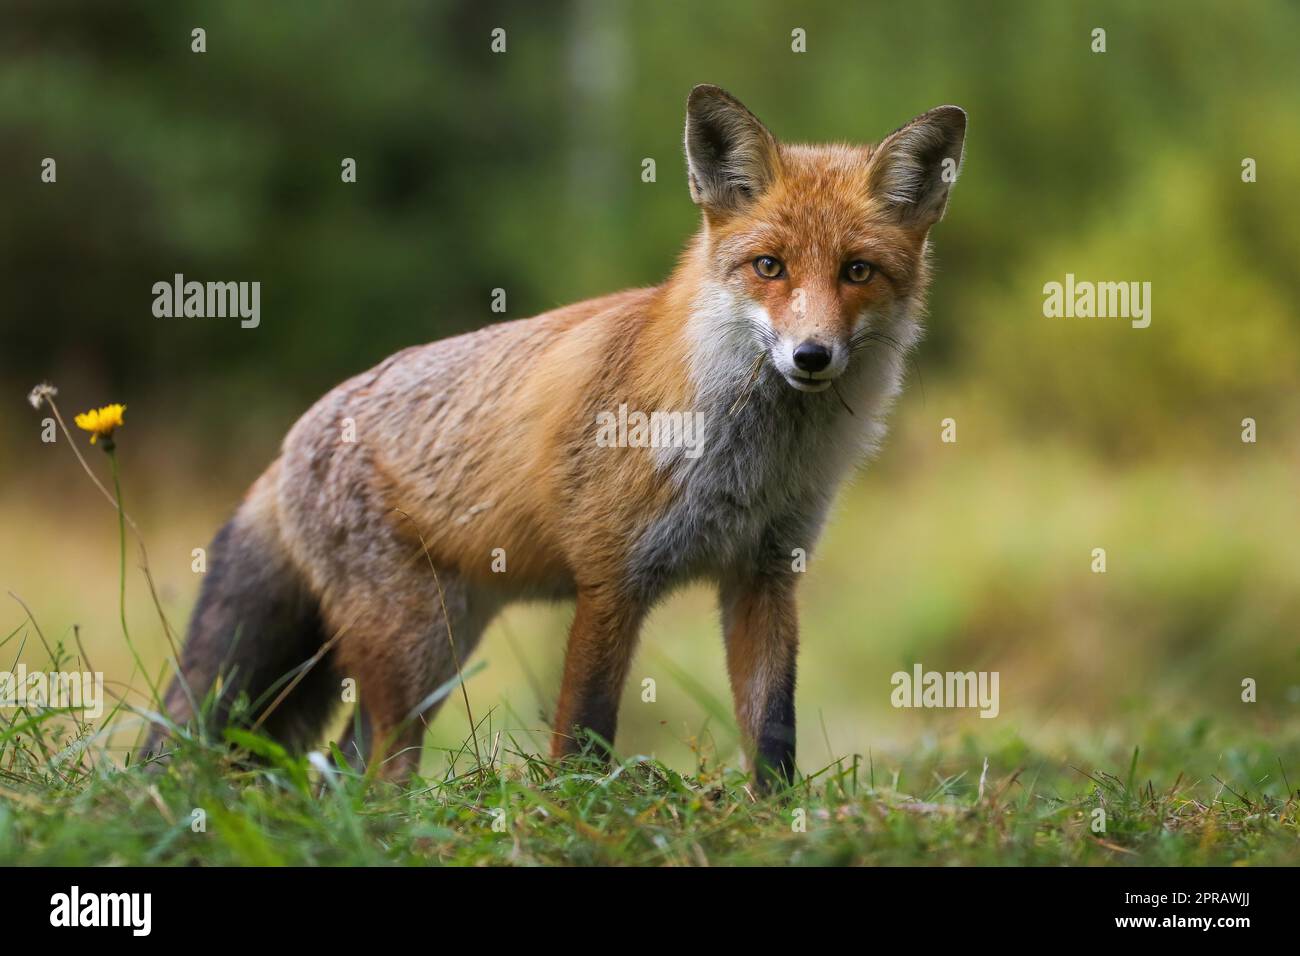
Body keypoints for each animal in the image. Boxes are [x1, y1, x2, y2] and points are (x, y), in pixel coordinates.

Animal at [142, 85, 966, 789]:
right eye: (770, 266)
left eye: (857, 271)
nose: (811, 356)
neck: (749, 460)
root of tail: (289, 444)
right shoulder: (610, 579)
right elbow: (583, 733)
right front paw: (574, 813)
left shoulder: (765, 574)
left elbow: (772, 729)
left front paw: (776, 817)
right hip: (412, 651)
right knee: (367, 770)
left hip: (439, 645)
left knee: (343, 769)